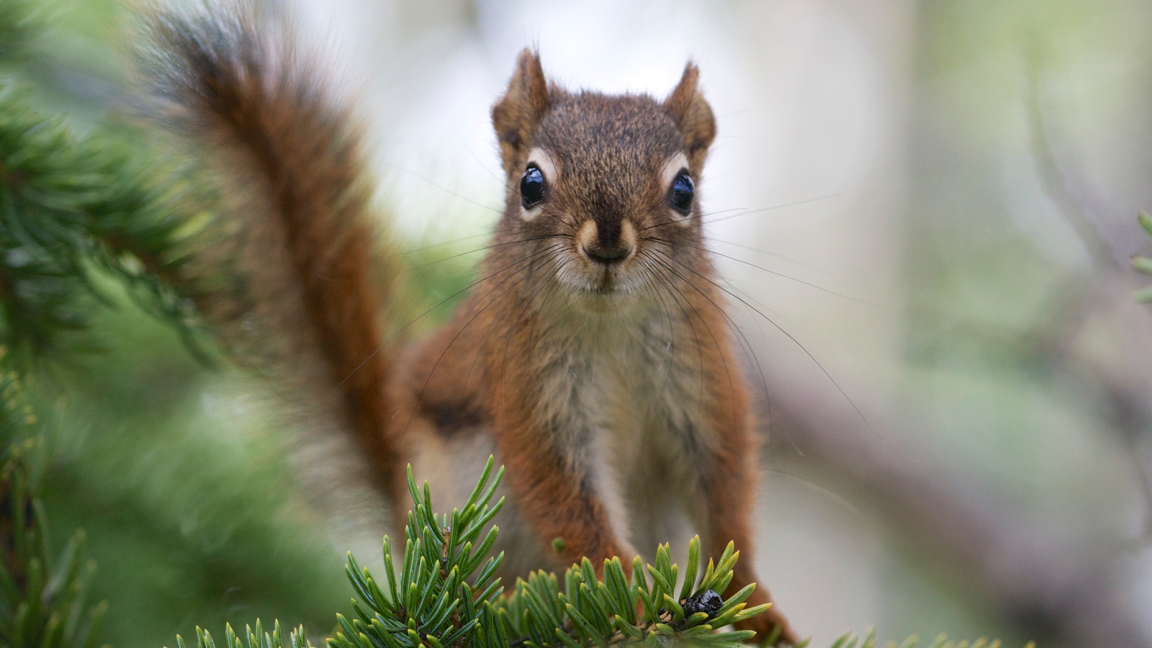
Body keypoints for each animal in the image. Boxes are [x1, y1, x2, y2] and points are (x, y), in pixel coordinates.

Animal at [147, 3, 796, 644]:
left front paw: (755, 605)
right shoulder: (530, 387)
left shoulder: (699, 376)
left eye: (683, 189)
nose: (609, 243)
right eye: (531, 183)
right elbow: (567, 501)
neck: (608, 325)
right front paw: (637, 595)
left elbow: (724, 488)